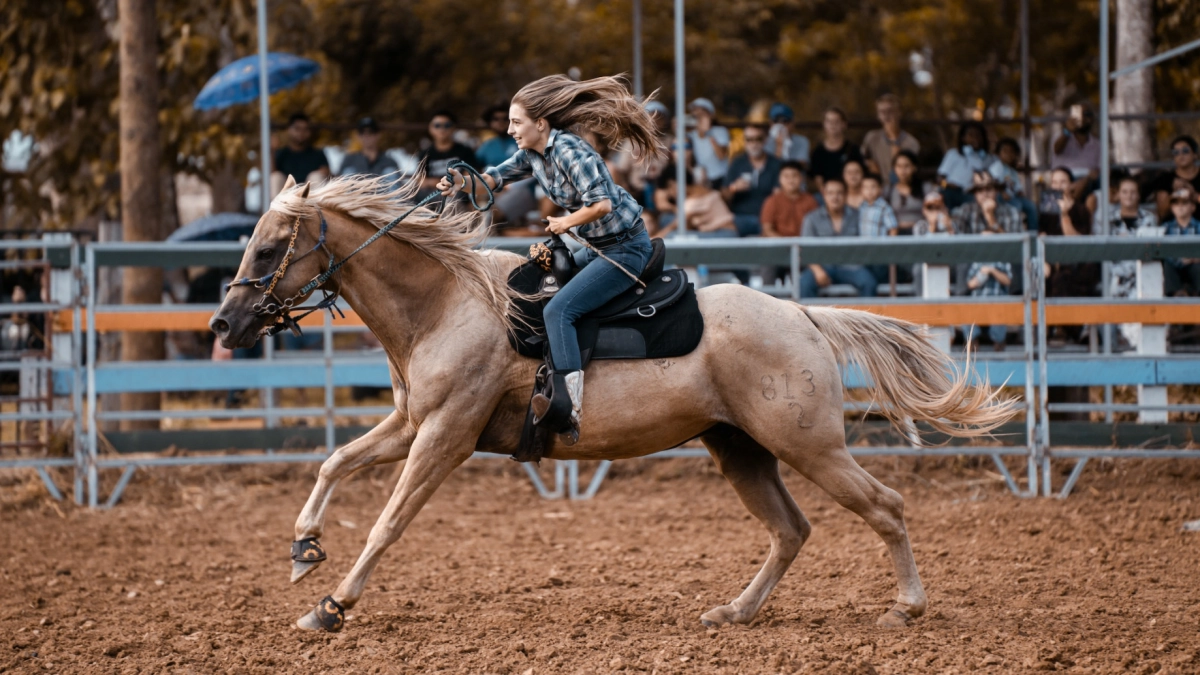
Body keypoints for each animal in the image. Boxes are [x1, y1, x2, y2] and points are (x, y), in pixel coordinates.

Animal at [210, 173, 1016, 633]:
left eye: (269, 246)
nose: (224, 324)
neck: (446, 304)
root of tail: (801, 314)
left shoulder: (444, 435)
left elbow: (386, 522)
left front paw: (330, 607)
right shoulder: (412, 422)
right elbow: (334, 463)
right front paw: (304, 549)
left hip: (808, 445)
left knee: (885, 505)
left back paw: (906, 608)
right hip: (740, 448)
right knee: (791, 530)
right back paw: (734, 611)